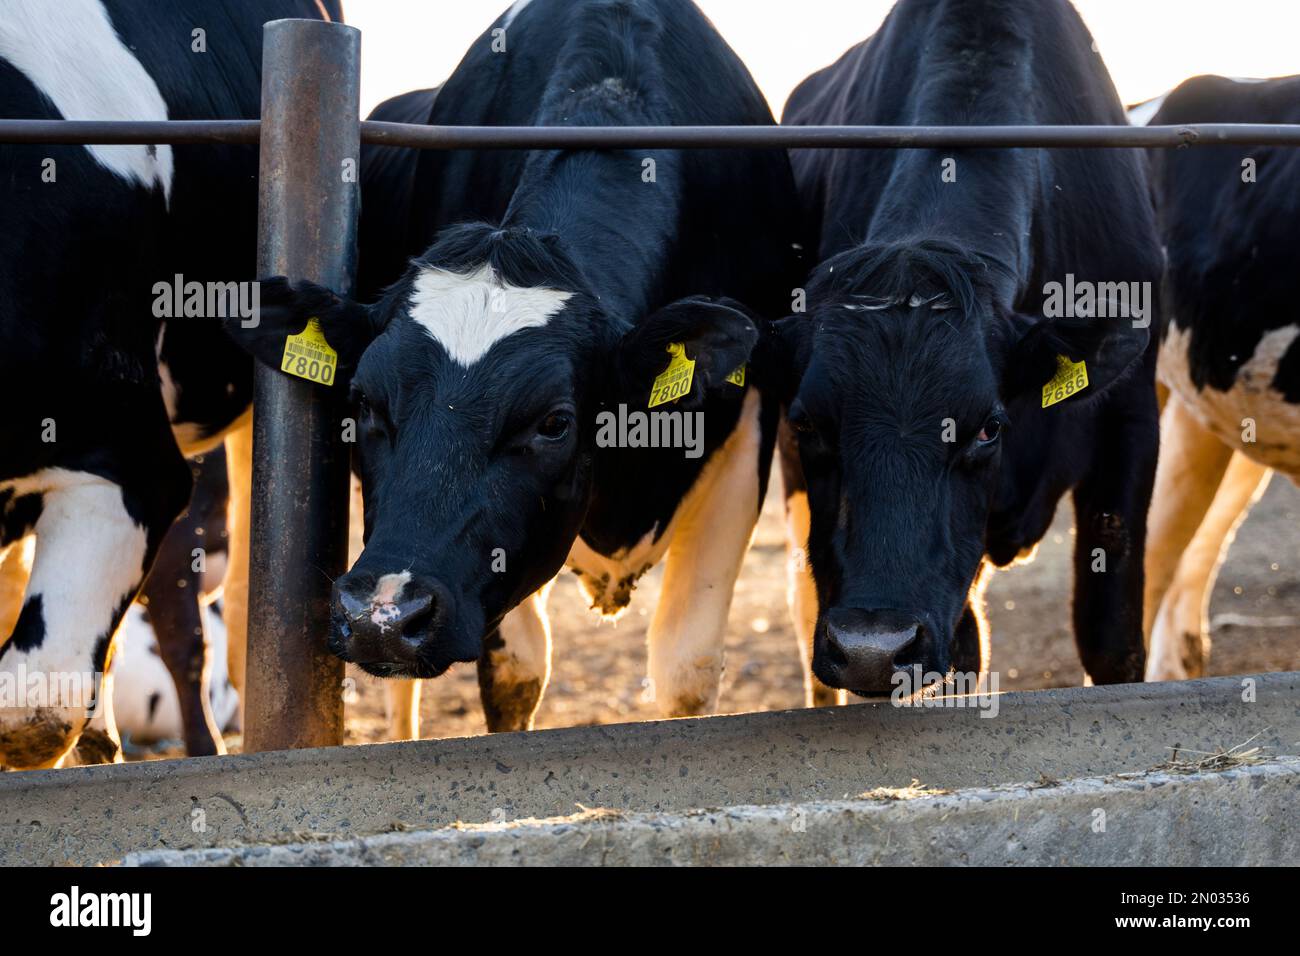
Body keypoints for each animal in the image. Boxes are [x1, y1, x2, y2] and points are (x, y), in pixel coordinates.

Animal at [228, 0, 804, 732]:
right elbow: (515, 673)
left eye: (555, 422)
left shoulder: (749, 425)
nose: (382, 614)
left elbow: (686, 666)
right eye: (364, 402)